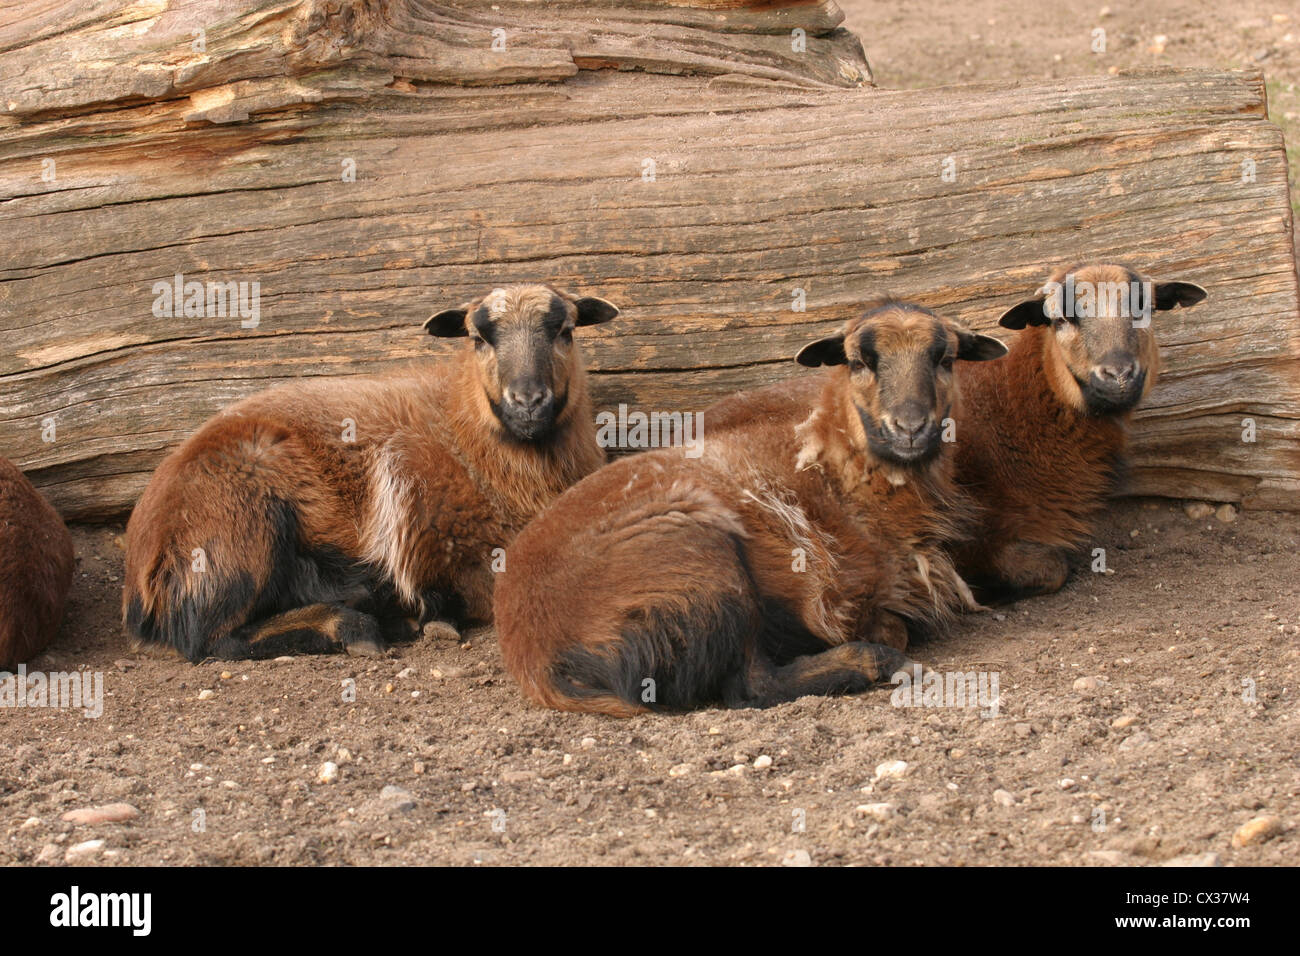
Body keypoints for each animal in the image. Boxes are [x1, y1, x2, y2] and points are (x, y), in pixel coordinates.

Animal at [122, 283, 619, 662]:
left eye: (566, 331)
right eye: (478, 337)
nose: (527, 401)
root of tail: (142, 557)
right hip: (242, 529)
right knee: (208, 639)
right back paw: (353, 625)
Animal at [493, 299, 1008, 715]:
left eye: (945, 359)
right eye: (859, 361)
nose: (910, 427)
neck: (839, 474)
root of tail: (533, 656)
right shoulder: (840, 599)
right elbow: (890, 626)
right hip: (704, 565)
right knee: (750, 687)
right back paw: (875, 663)